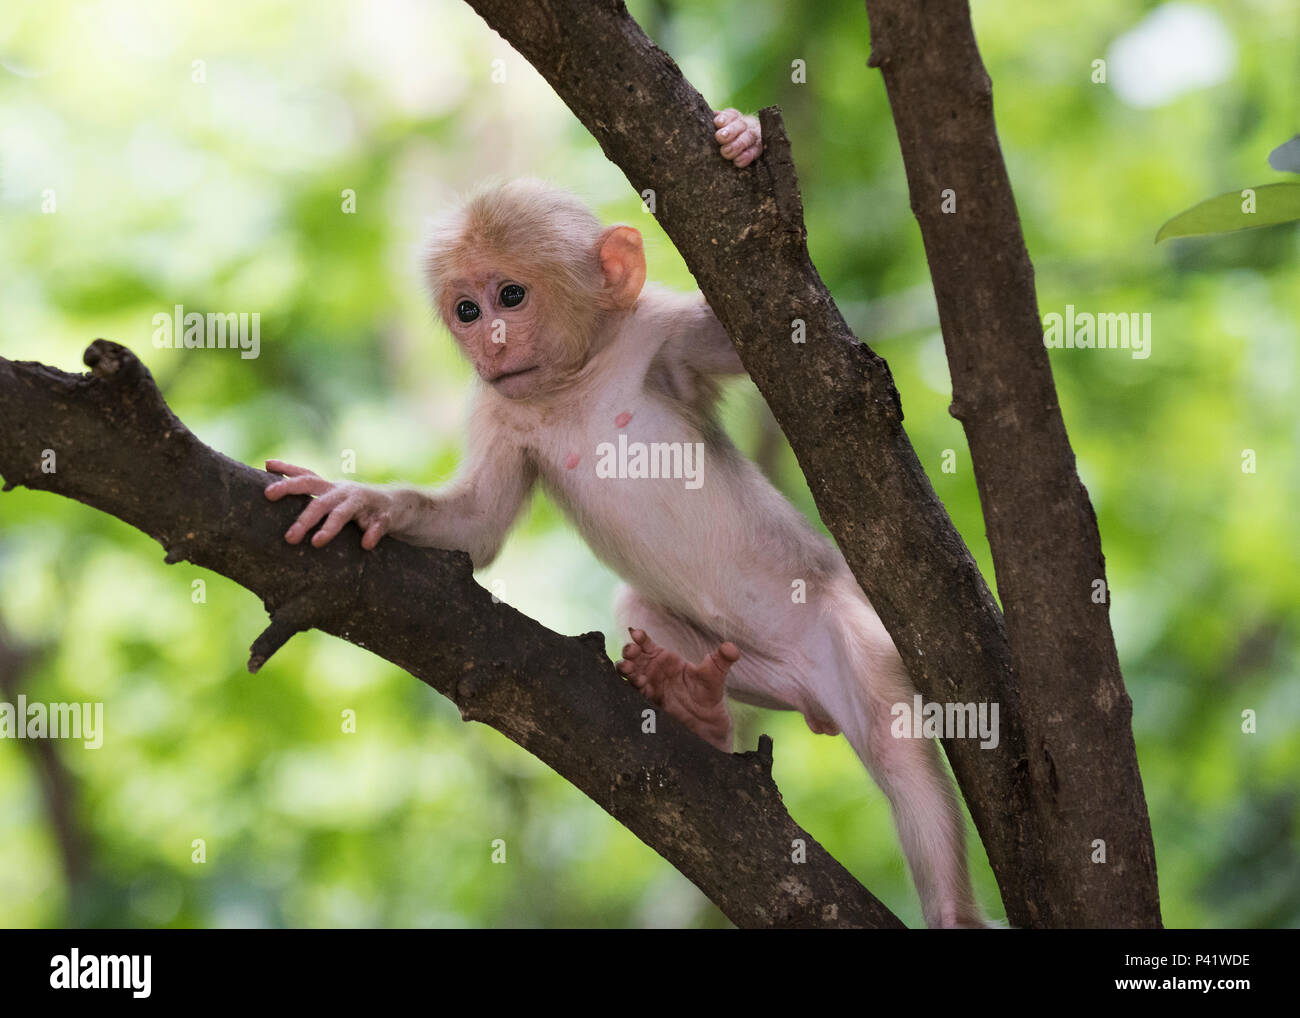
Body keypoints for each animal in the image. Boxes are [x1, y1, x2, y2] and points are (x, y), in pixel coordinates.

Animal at [263, 109, 990, 928]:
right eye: (466, 309)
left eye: (511, 295)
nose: (490, 341)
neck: (576, 379)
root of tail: (816, 695)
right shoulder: (499, 408)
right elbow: (475, 526)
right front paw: (366, 503)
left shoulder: (660, 335)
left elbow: (764, 336)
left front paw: (742, 140)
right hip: (763, 669)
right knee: (641, 611)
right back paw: (695, 704)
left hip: (855, 631)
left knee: (896, 747)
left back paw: (952, 911)